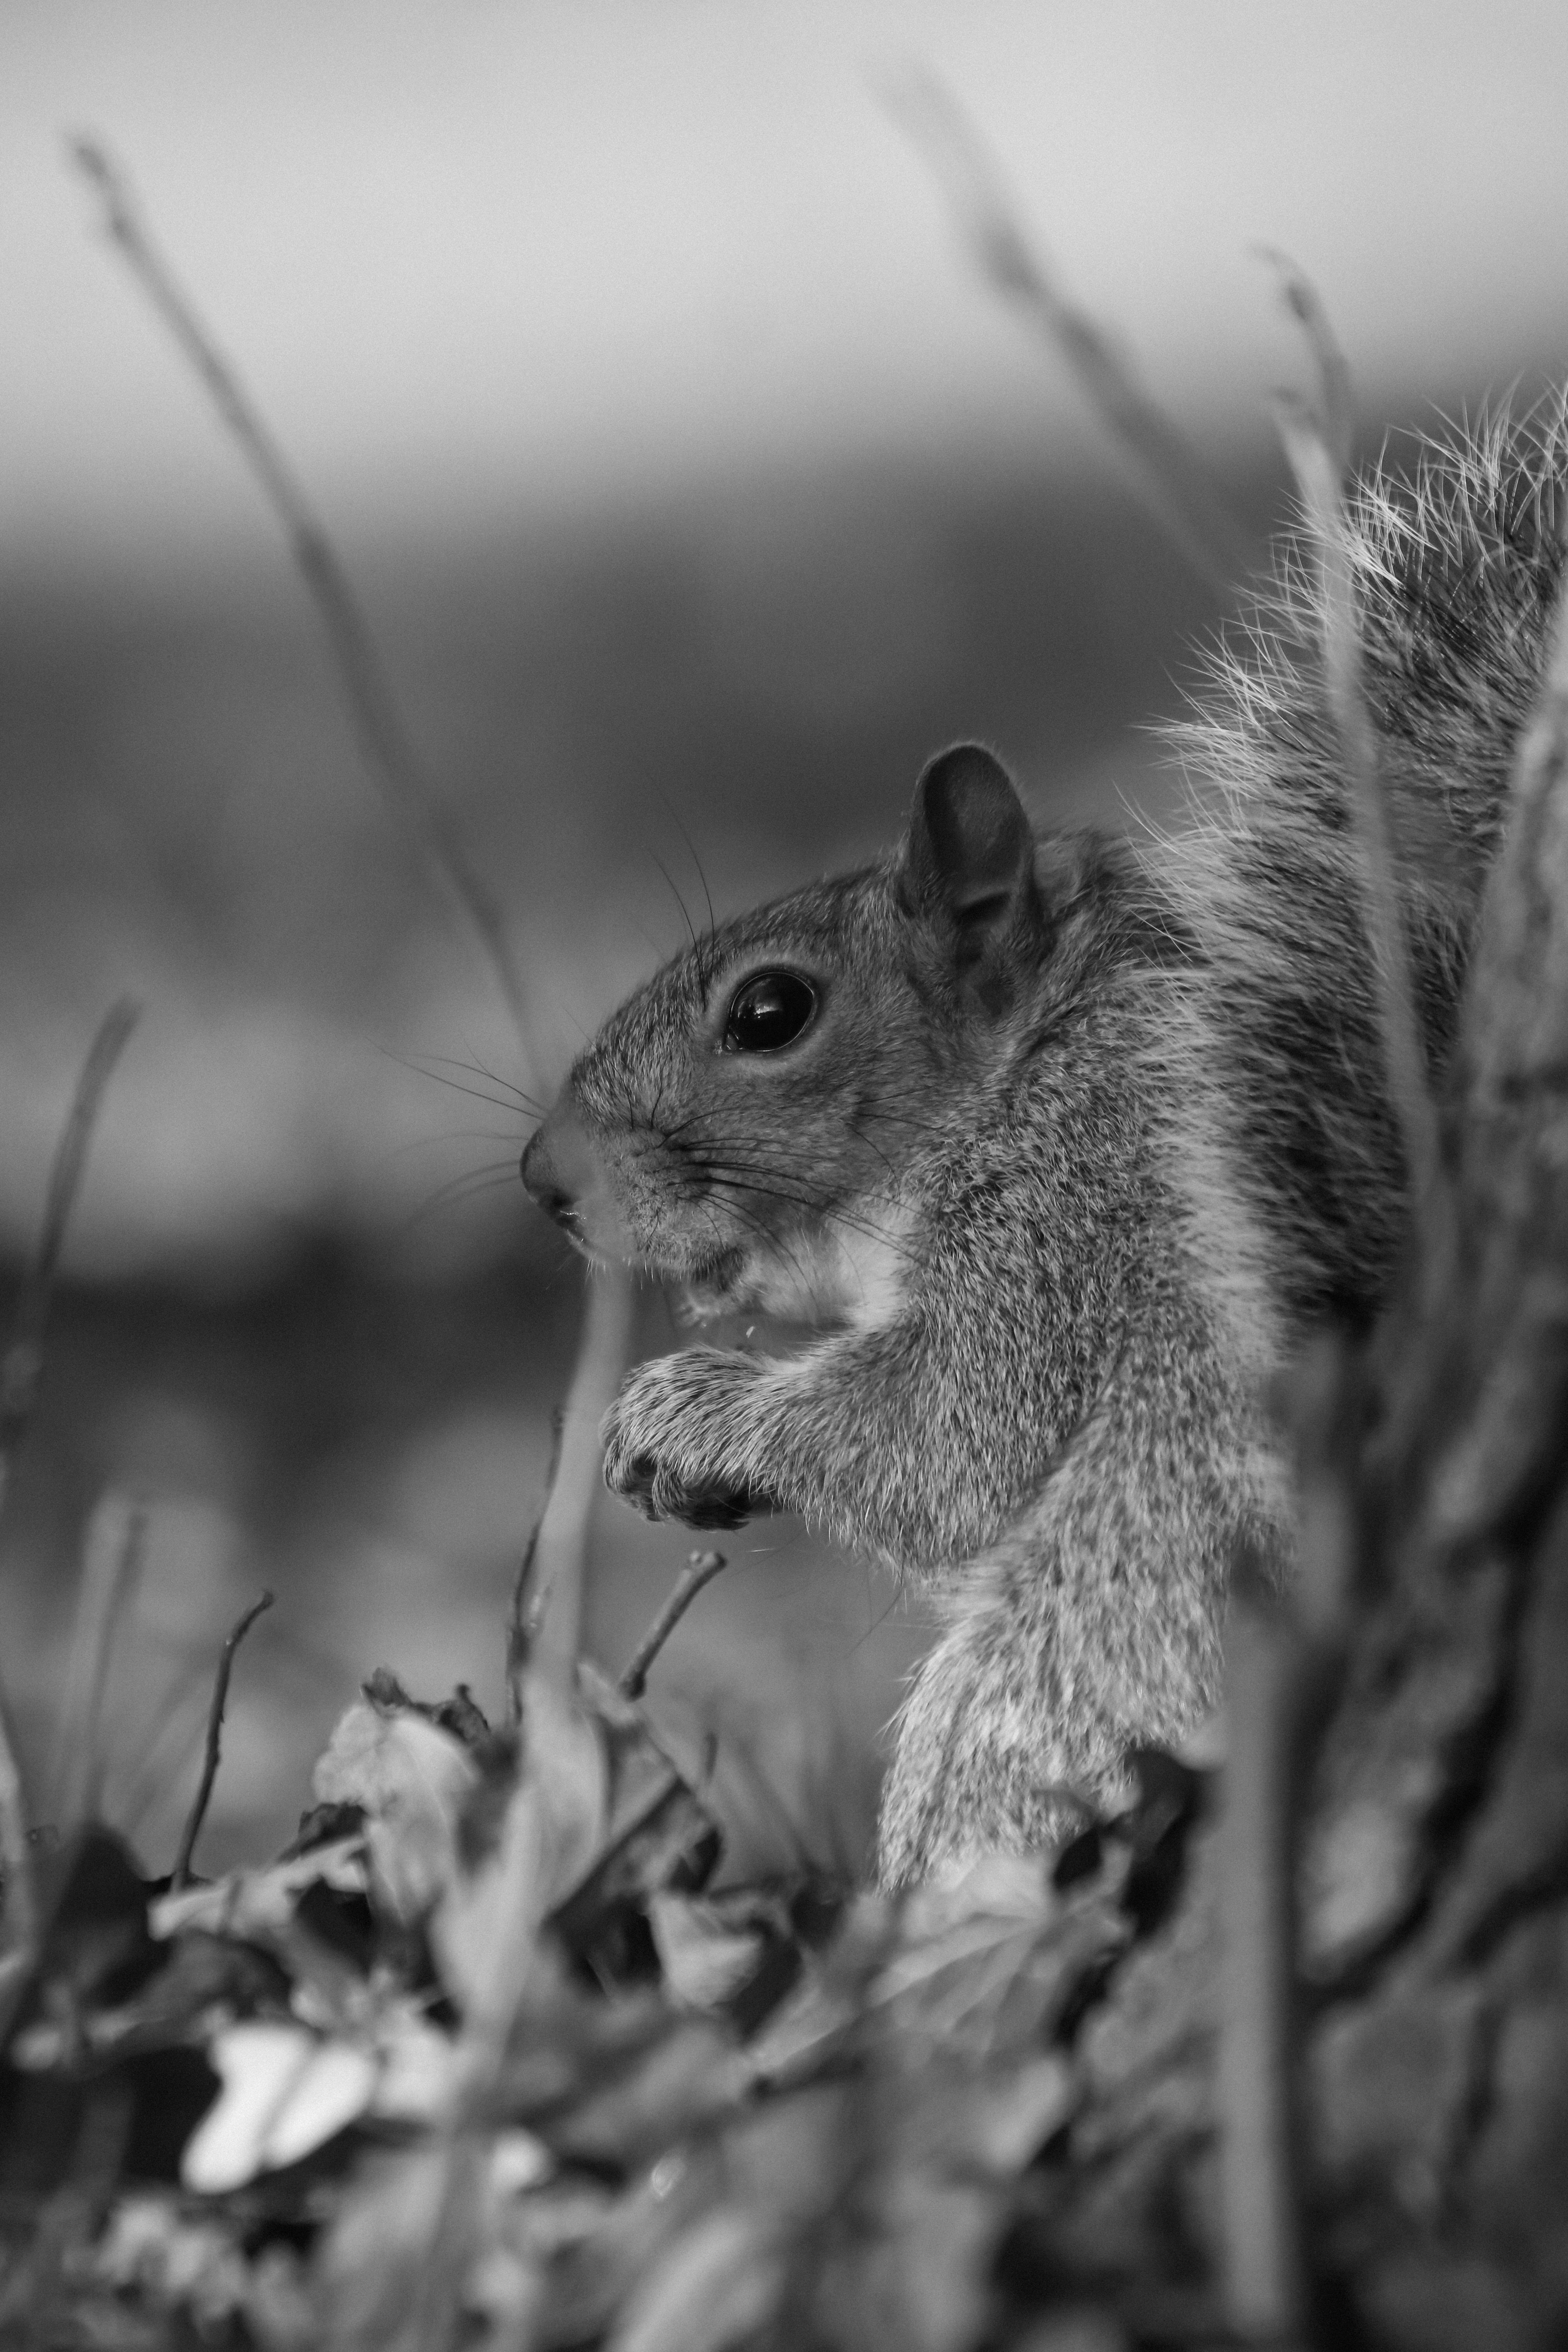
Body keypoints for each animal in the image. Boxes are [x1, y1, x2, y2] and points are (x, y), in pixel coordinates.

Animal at [521, 406, 1564, 1888]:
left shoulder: (1070, 1212)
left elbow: (946, 1434)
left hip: (1080, 1636)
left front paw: (687, 1408)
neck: (1022, 1071)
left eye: (770, 1012)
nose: (542, 1181)